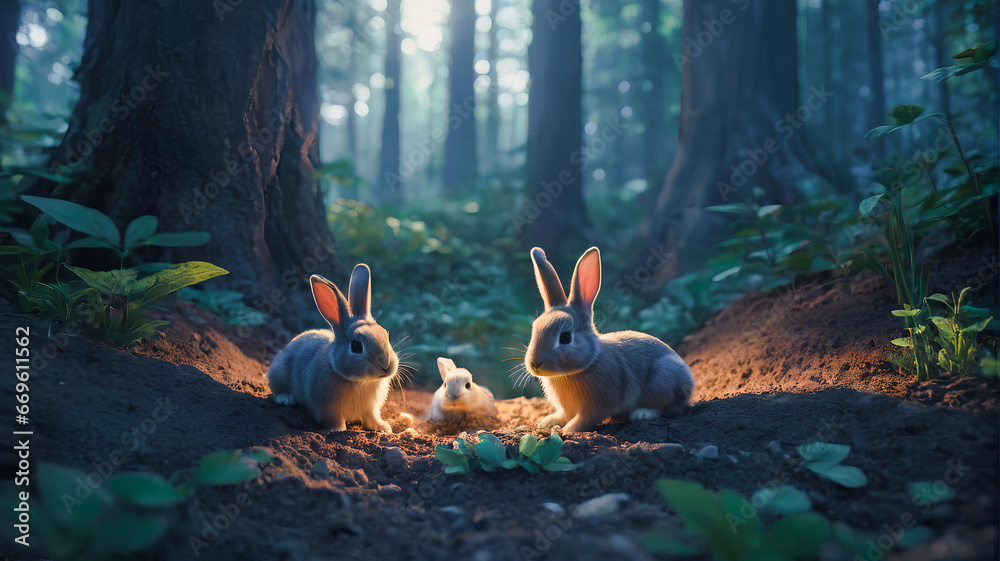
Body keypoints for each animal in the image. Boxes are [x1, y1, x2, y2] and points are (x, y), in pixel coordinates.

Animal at [268, 264, 398, 433]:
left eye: (385, 335)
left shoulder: (370, 408)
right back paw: (286, 399)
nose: (386, 366)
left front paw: (383, 428)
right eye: (356, 345)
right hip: (278, 371)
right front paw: (337, 430)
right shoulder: (328, 408)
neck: (360, 381)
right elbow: (334, 419)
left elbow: (371, 417)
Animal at [524, 246, 694, 433]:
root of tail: (689, 380)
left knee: (668, 407)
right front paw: (547, 422)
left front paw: (567, 430)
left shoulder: (596, 406)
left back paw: (642, 413)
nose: (534, 363)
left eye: (565, 337)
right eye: (534, 329)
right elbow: (564, 415)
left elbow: (584, 420)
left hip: (663, 379)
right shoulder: (567, 408)